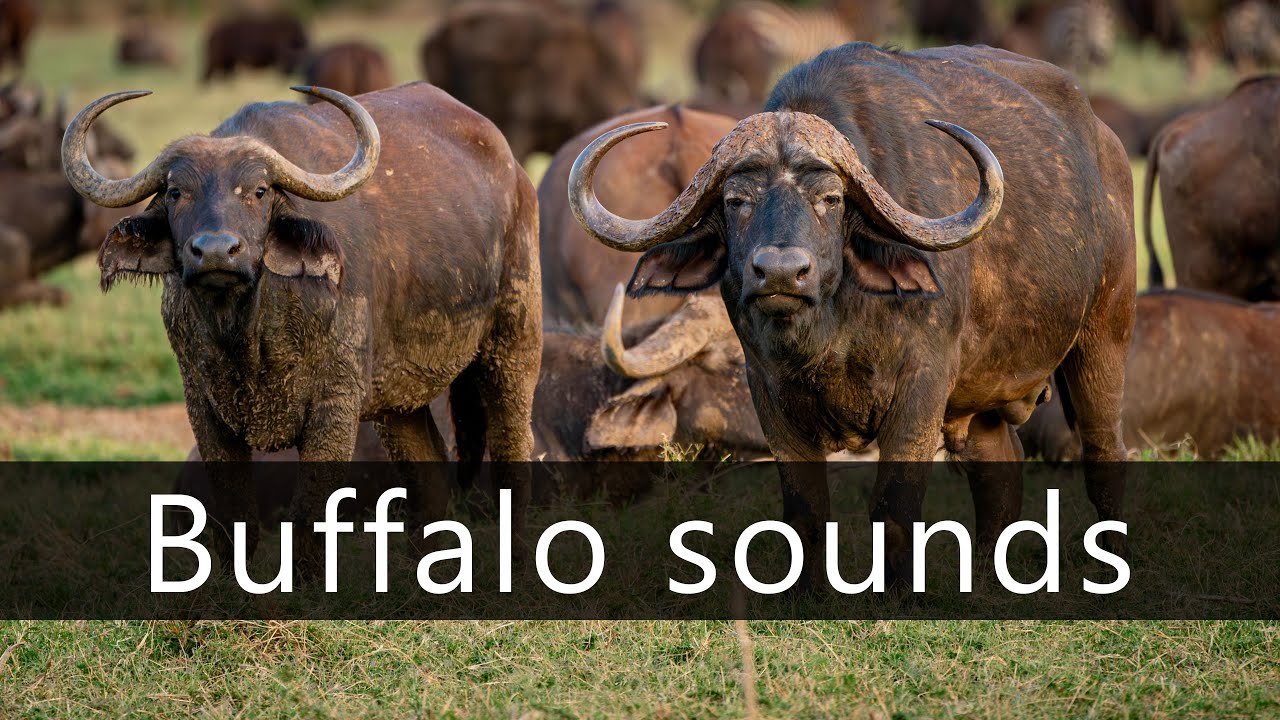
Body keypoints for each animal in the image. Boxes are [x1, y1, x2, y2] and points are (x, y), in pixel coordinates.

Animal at [62, 83, 542, 569]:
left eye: (258, 191)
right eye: (177, 191)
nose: (215, 251)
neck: (249, 332)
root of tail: (514, 173)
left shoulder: (335, 405)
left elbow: (311, 510)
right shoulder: (204, 405)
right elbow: (233, 508)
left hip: (513, 344)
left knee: (511, 444)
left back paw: (518, 560)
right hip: (398, 394)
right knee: (428, 469)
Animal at [570, 43, 1135, 588]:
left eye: (831, 198)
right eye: (736, 200)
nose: (781, 272)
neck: (832, 329)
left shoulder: (922, 387)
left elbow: (893, 505)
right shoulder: (770, 394)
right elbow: (805, 511)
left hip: (1104, 338)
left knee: (1104, 453)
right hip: (984, 399)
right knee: (999, 468)